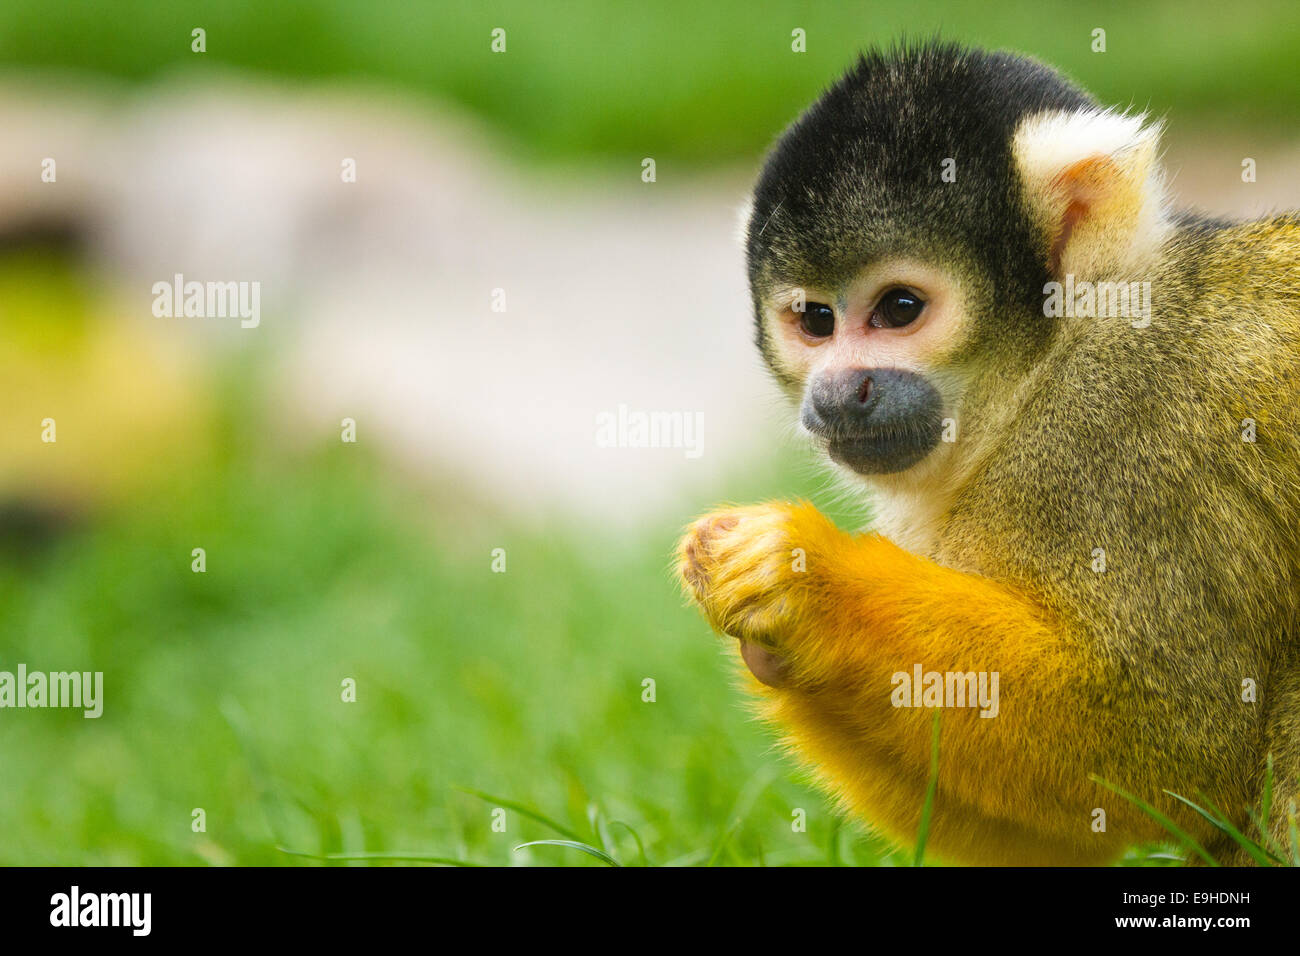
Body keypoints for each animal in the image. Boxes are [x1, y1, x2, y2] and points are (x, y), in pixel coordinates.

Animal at [677, 41, 1300, 866]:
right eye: (814, 320)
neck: (1041, 376)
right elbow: (1064, 831)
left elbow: (1181, 737)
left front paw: (805, 579)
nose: (840, 392)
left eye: (899, 308)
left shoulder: (1121, 442)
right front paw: (764, 628)